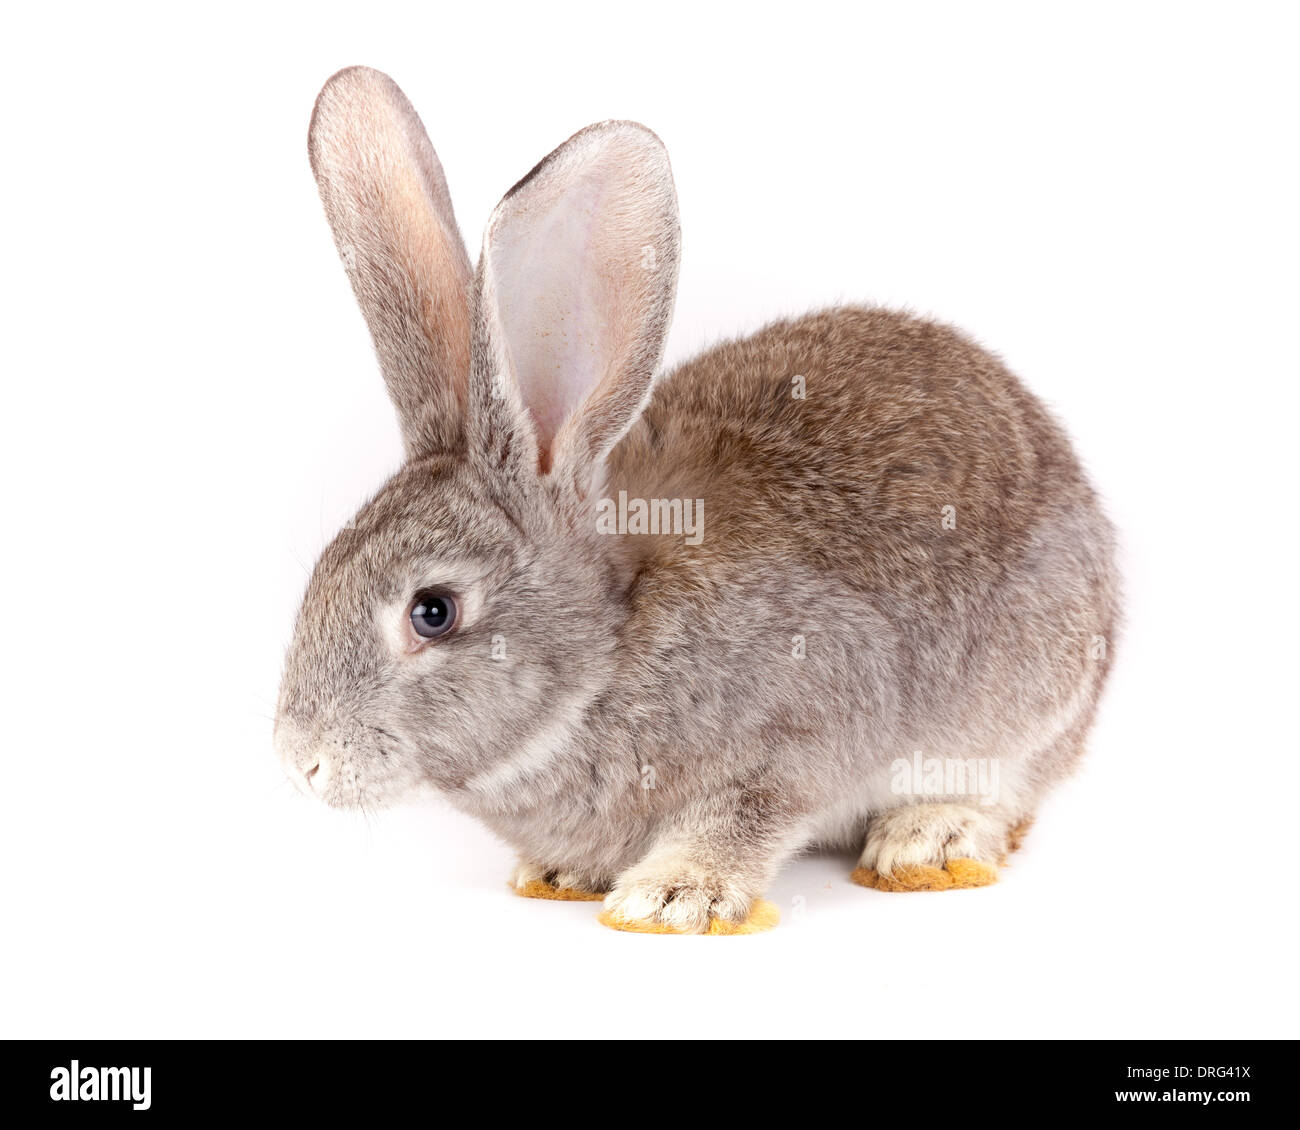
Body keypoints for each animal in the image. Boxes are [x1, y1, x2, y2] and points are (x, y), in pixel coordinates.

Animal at [274, 65, 1120, 934]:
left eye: (433, 611)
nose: (301, 761)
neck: (610, 650)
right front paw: (562, 875)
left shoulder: (800, 727)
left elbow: (747, 811)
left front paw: (673, 897)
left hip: (1029, 703)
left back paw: (928, 841)